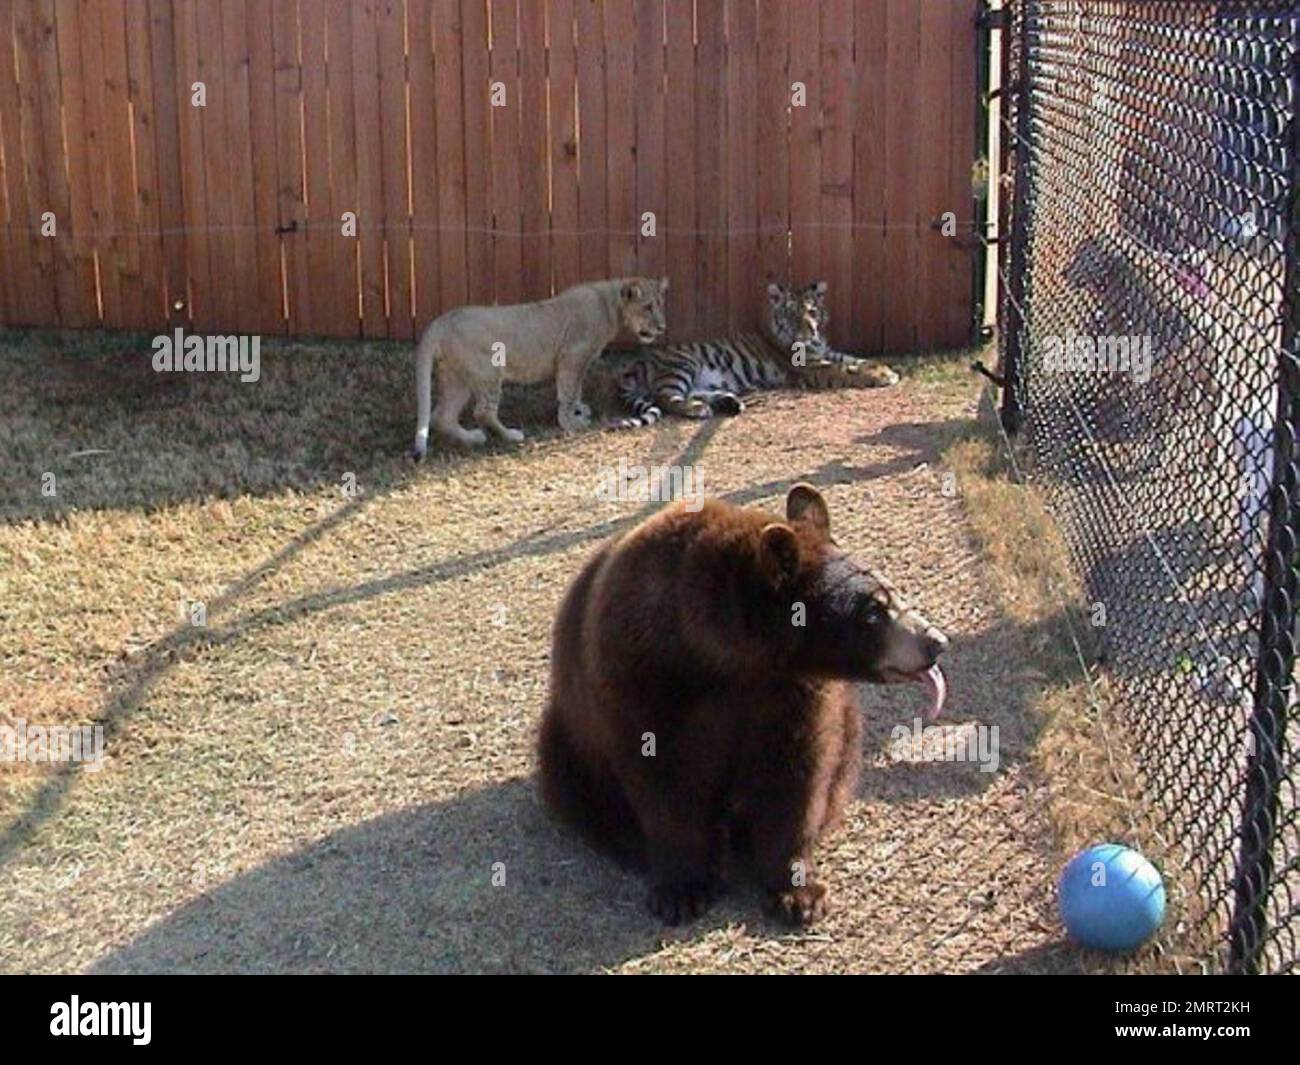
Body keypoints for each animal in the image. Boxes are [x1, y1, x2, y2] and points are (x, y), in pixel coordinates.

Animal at [412, 277, 669, 457]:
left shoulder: (578, 362)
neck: (610, 303)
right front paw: (571, 423)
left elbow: (576, 390)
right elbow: (568, 393)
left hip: (458, 378)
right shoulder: (572, 356)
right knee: (483, 411)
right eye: (647, 307)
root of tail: (442, 321)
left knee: (441, 415)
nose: (662, 327)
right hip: (488, 372)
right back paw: (511, 435)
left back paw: (473, 438)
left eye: (659, 304)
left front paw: (580, 410)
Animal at [537, 483, 949, 926]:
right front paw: (682, 890)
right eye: (872, 611)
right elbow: (663, 786)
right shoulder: (639, 684)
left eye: (891, 592)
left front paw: (797, 892)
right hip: (569, 735)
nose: (936, 641)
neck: (724, 659)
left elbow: (796, 775)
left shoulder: (792, 696)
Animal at [611, 281, 900, 428]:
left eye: (812, 311)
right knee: (666, 397)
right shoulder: (810, 368)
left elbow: (856, 361)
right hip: (682, 365)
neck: (814, 343)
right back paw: (698, 410)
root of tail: (634, 364)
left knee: (693, 393)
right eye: (791, 313)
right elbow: (845, 371)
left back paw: (729, 403)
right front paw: (882, 377)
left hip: (700, 378)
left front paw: (885, 369)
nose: (808, 330)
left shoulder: (827, 352)